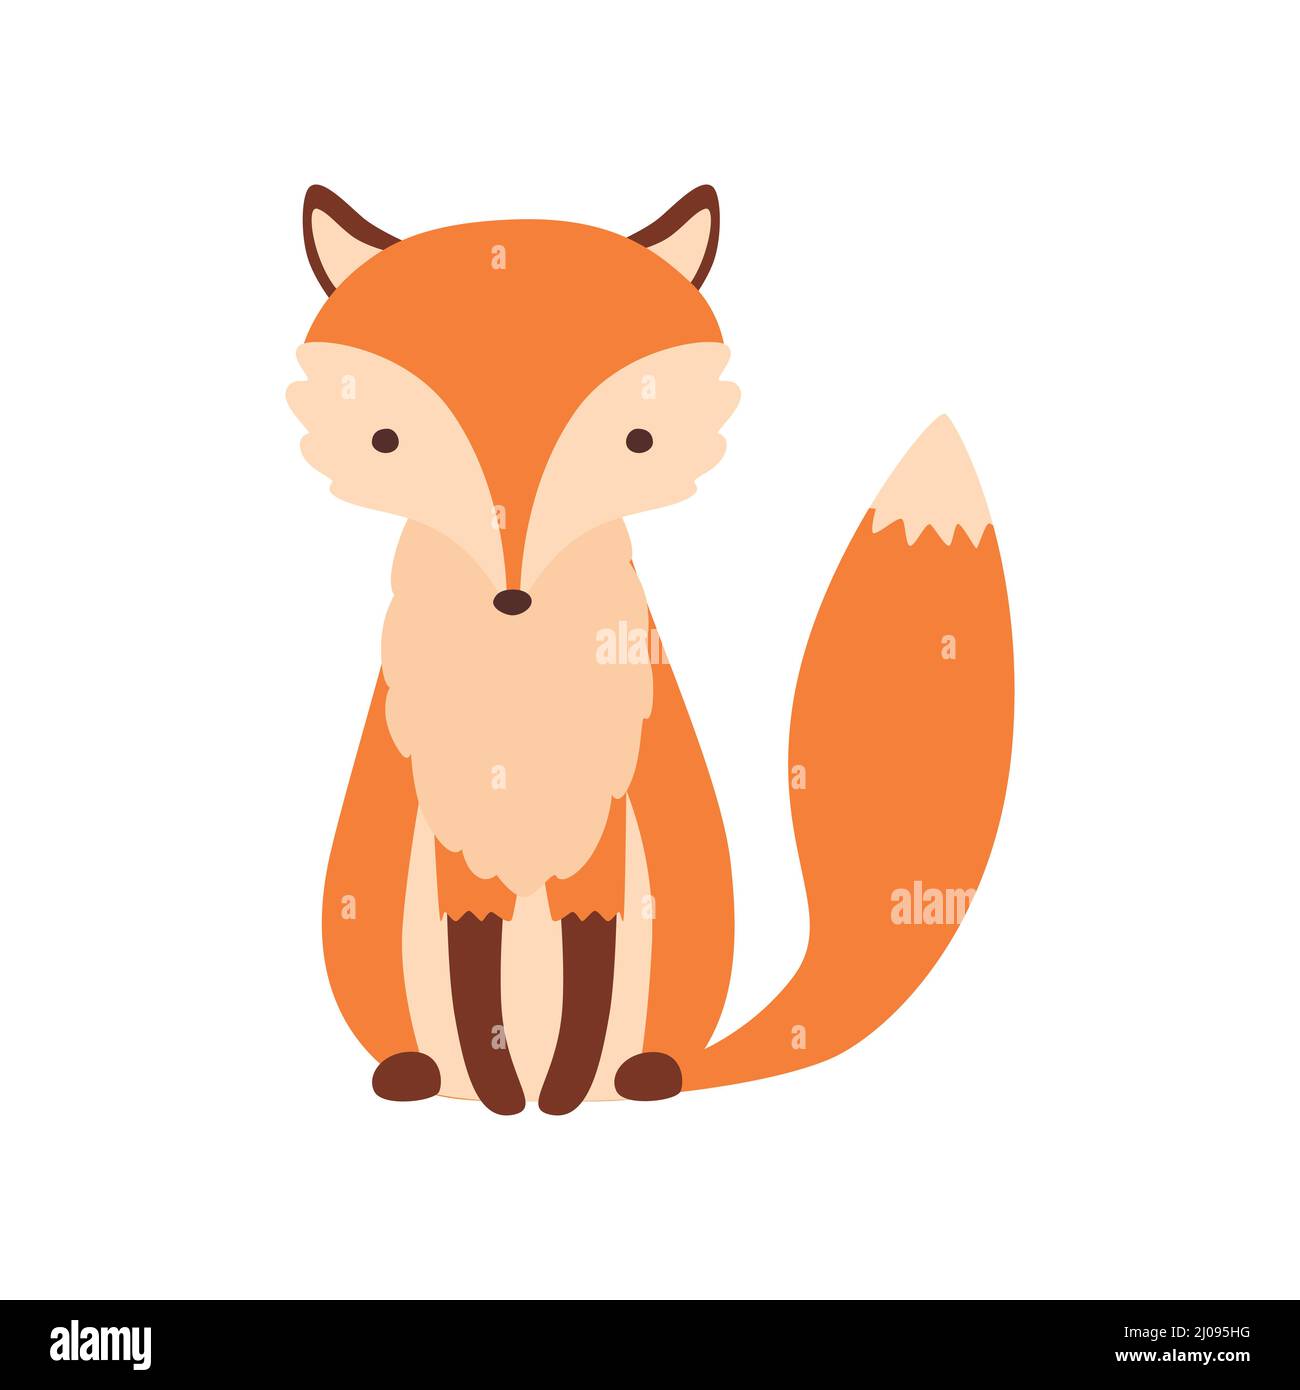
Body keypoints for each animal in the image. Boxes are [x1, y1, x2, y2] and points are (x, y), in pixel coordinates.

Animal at [286, 184, 1014, 1115]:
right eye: (387, 442)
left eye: (639, 442)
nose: (513, 598)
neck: (518, 692)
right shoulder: (458, 839)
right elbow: (473, 965)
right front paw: (504, 1089)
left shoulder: (602, 831)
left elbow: (588, 963)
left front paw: (554, 1089)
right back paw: (426, 1075)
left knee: (648, 1046)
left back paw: (636, 1077)